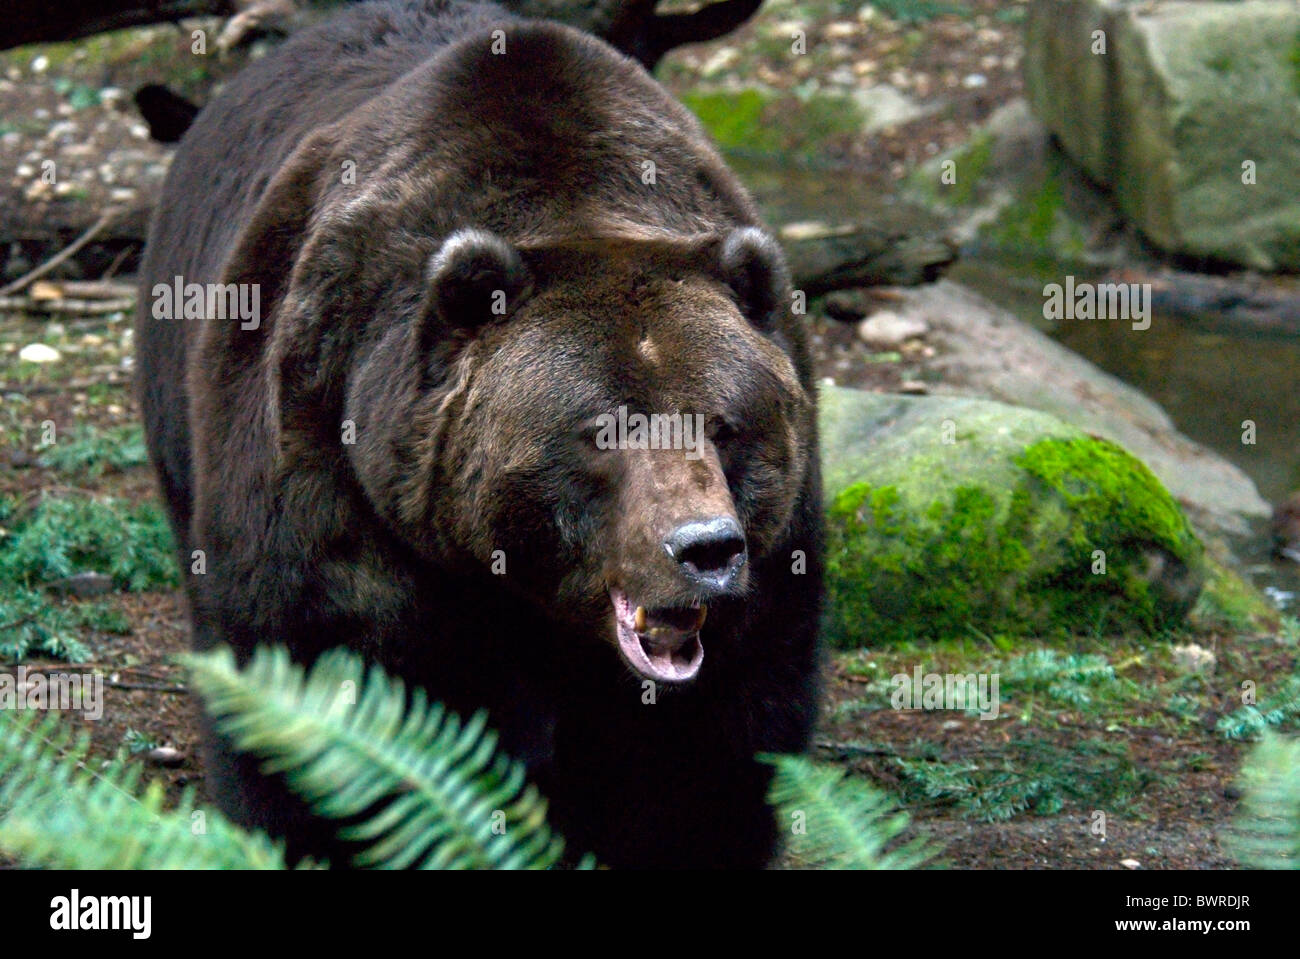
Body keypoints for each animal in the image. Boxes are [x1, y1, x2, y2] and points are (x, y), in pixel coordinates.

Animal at [136, 0, 823, 869]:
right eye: (602, 430)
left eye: (725, 422)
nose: (704, 549)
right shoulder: (329, 440)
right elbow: (317, 677)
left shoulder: (765, 577)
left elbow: (705, 754)